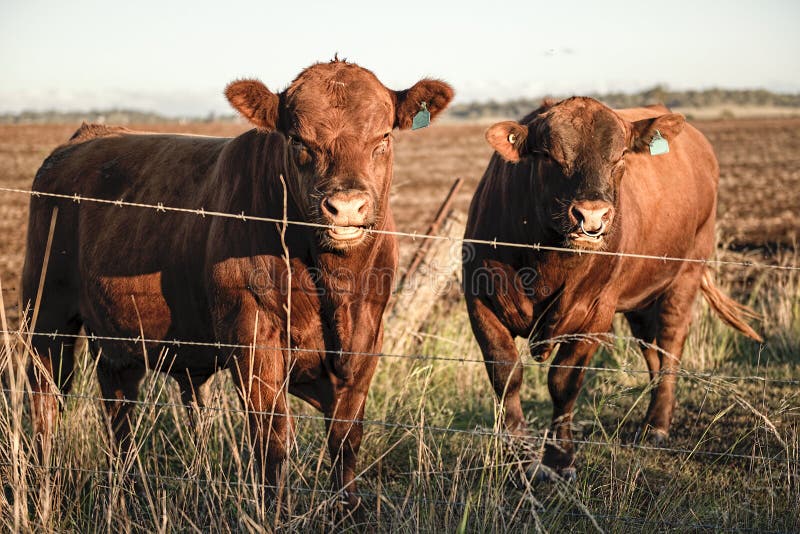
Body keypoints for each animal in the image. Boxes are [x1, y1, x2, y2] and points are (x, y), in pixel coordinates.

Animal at [22, 58, 453, 510]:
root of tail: (87, 136)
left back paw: (126, 490)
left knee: (118, 404)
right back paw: (42, 488)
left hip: (116, 336)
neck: (336, 289)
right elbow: (272, 443)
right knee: (46, 399)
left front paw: (347, 513)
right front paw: (272, 514)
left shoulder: (367, 341)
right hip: (46, 314)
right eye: (298, 140)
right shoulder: (253, 338)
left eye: (383, 136)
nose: (347, 207)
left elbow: (345, 443)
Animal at [462, 97, 762, 480]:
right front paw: (521, 460)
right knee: (651, 348)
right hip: (641, 297)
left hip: (687, 273)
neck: (546, 259)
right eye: (548, 155)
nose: (592, 216)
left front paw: (561, 458)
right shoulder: (480, 300)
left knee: (670, 345)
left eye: (619, 157)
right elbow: (506, 375)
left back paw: (657, 425)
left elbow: (564, 382)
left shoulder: (595, 314)